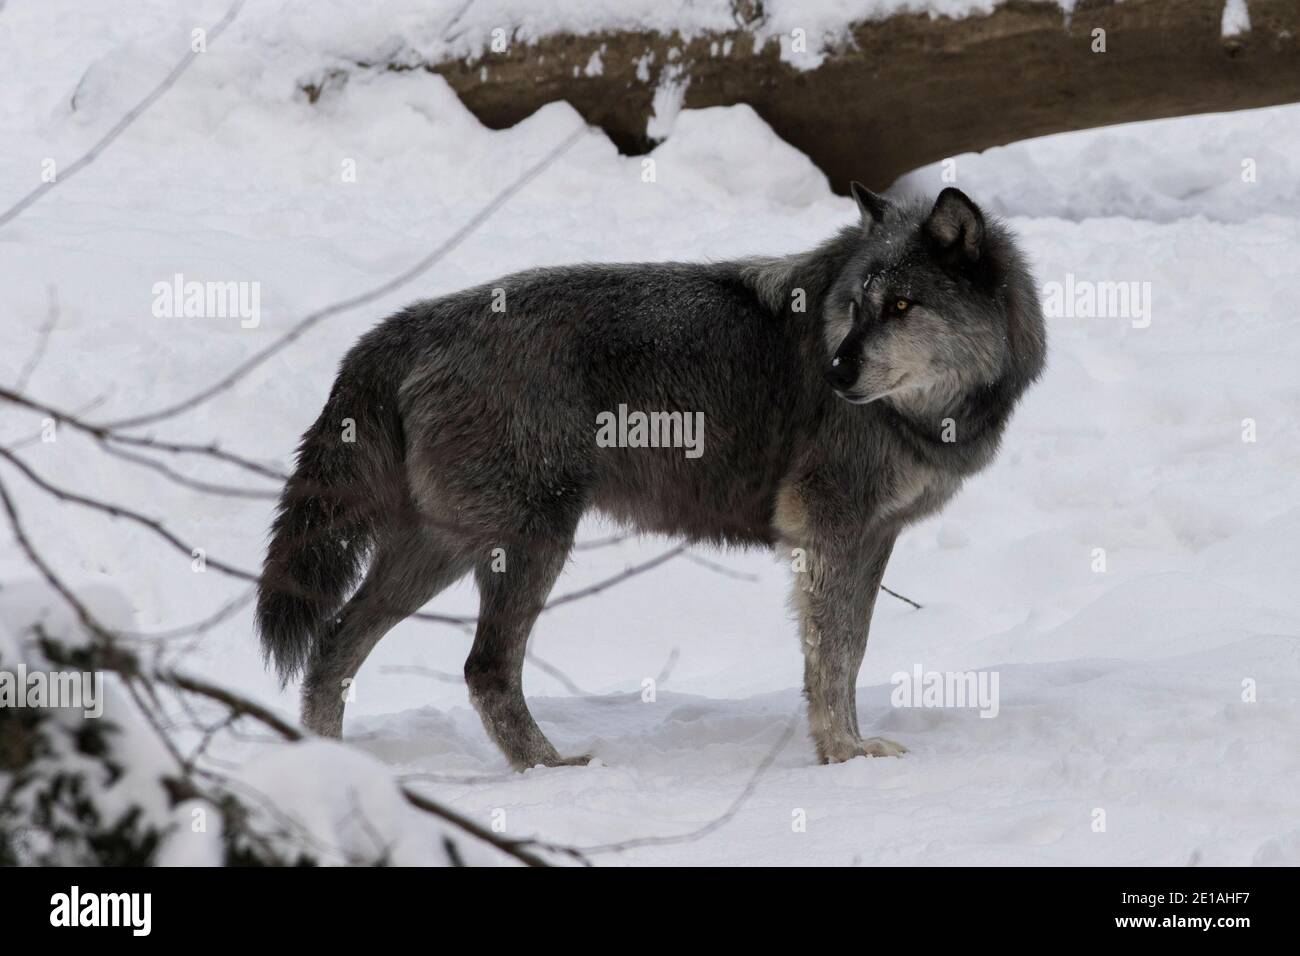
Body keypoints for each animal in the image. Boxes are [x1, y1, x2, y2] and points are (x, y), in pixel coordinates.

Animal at [256, 185, 1046, 769]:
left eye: (902, 306)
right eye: (858, 307)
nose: (834, 373)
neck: (933, 412)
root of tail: (405, 324)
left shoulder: (872, 536)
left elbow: (849, 651)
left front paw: (842, 751)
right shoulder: (831, 529)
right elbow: (835, 655)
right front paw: (845, 756)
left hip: (443, 548)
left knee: (333, 646)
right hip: (532, 542)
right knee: (484, 668)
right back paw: (551, 768)